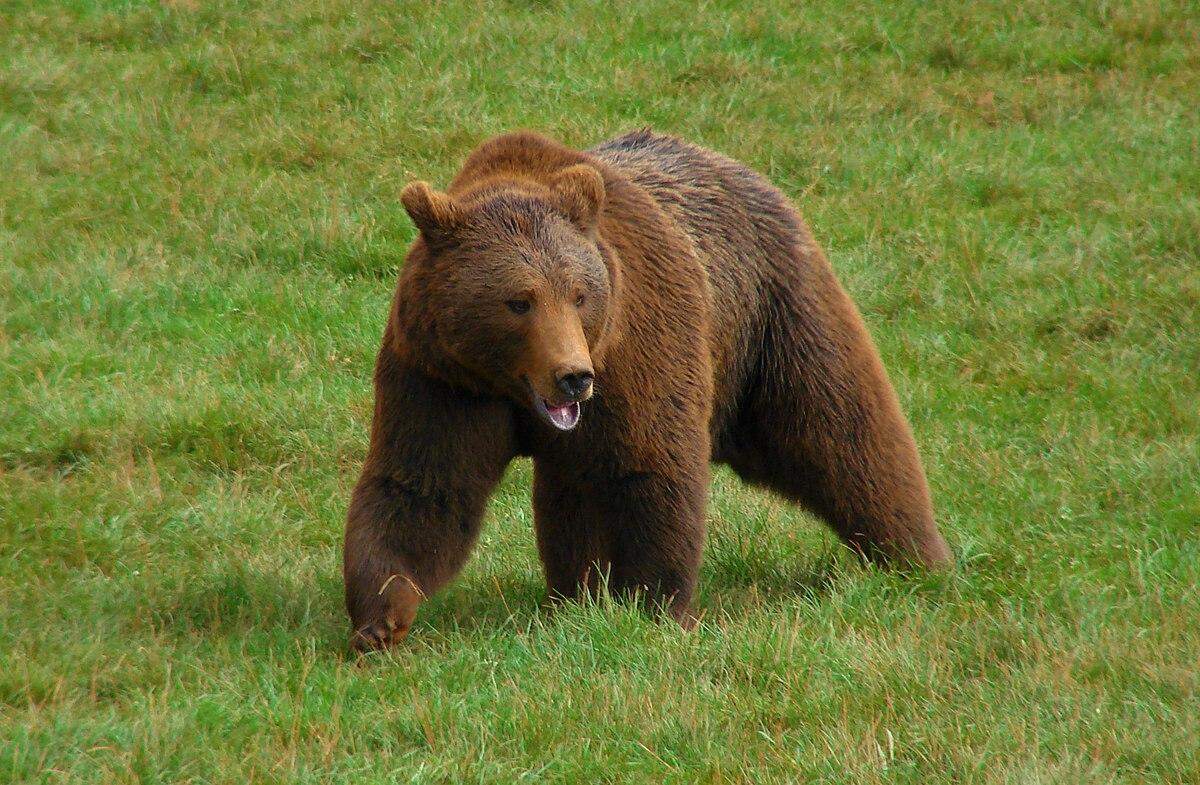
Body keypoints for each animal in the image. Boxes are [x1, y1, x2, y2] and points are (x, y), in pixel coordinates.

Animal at [343, 129, 953, 651]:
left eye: (579, 293)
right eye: (518, 300)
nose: (573, 375)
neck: (510, 386)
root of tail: (739, 168)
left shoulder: (638, 350)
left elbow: (649, 470)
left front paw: (653, 605)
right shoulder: (442, 377)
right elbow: (423, 486)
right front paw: (382, 617)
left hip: (772, 316)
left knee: (842, 427)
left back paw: (919, 557)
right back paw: (573, 596)